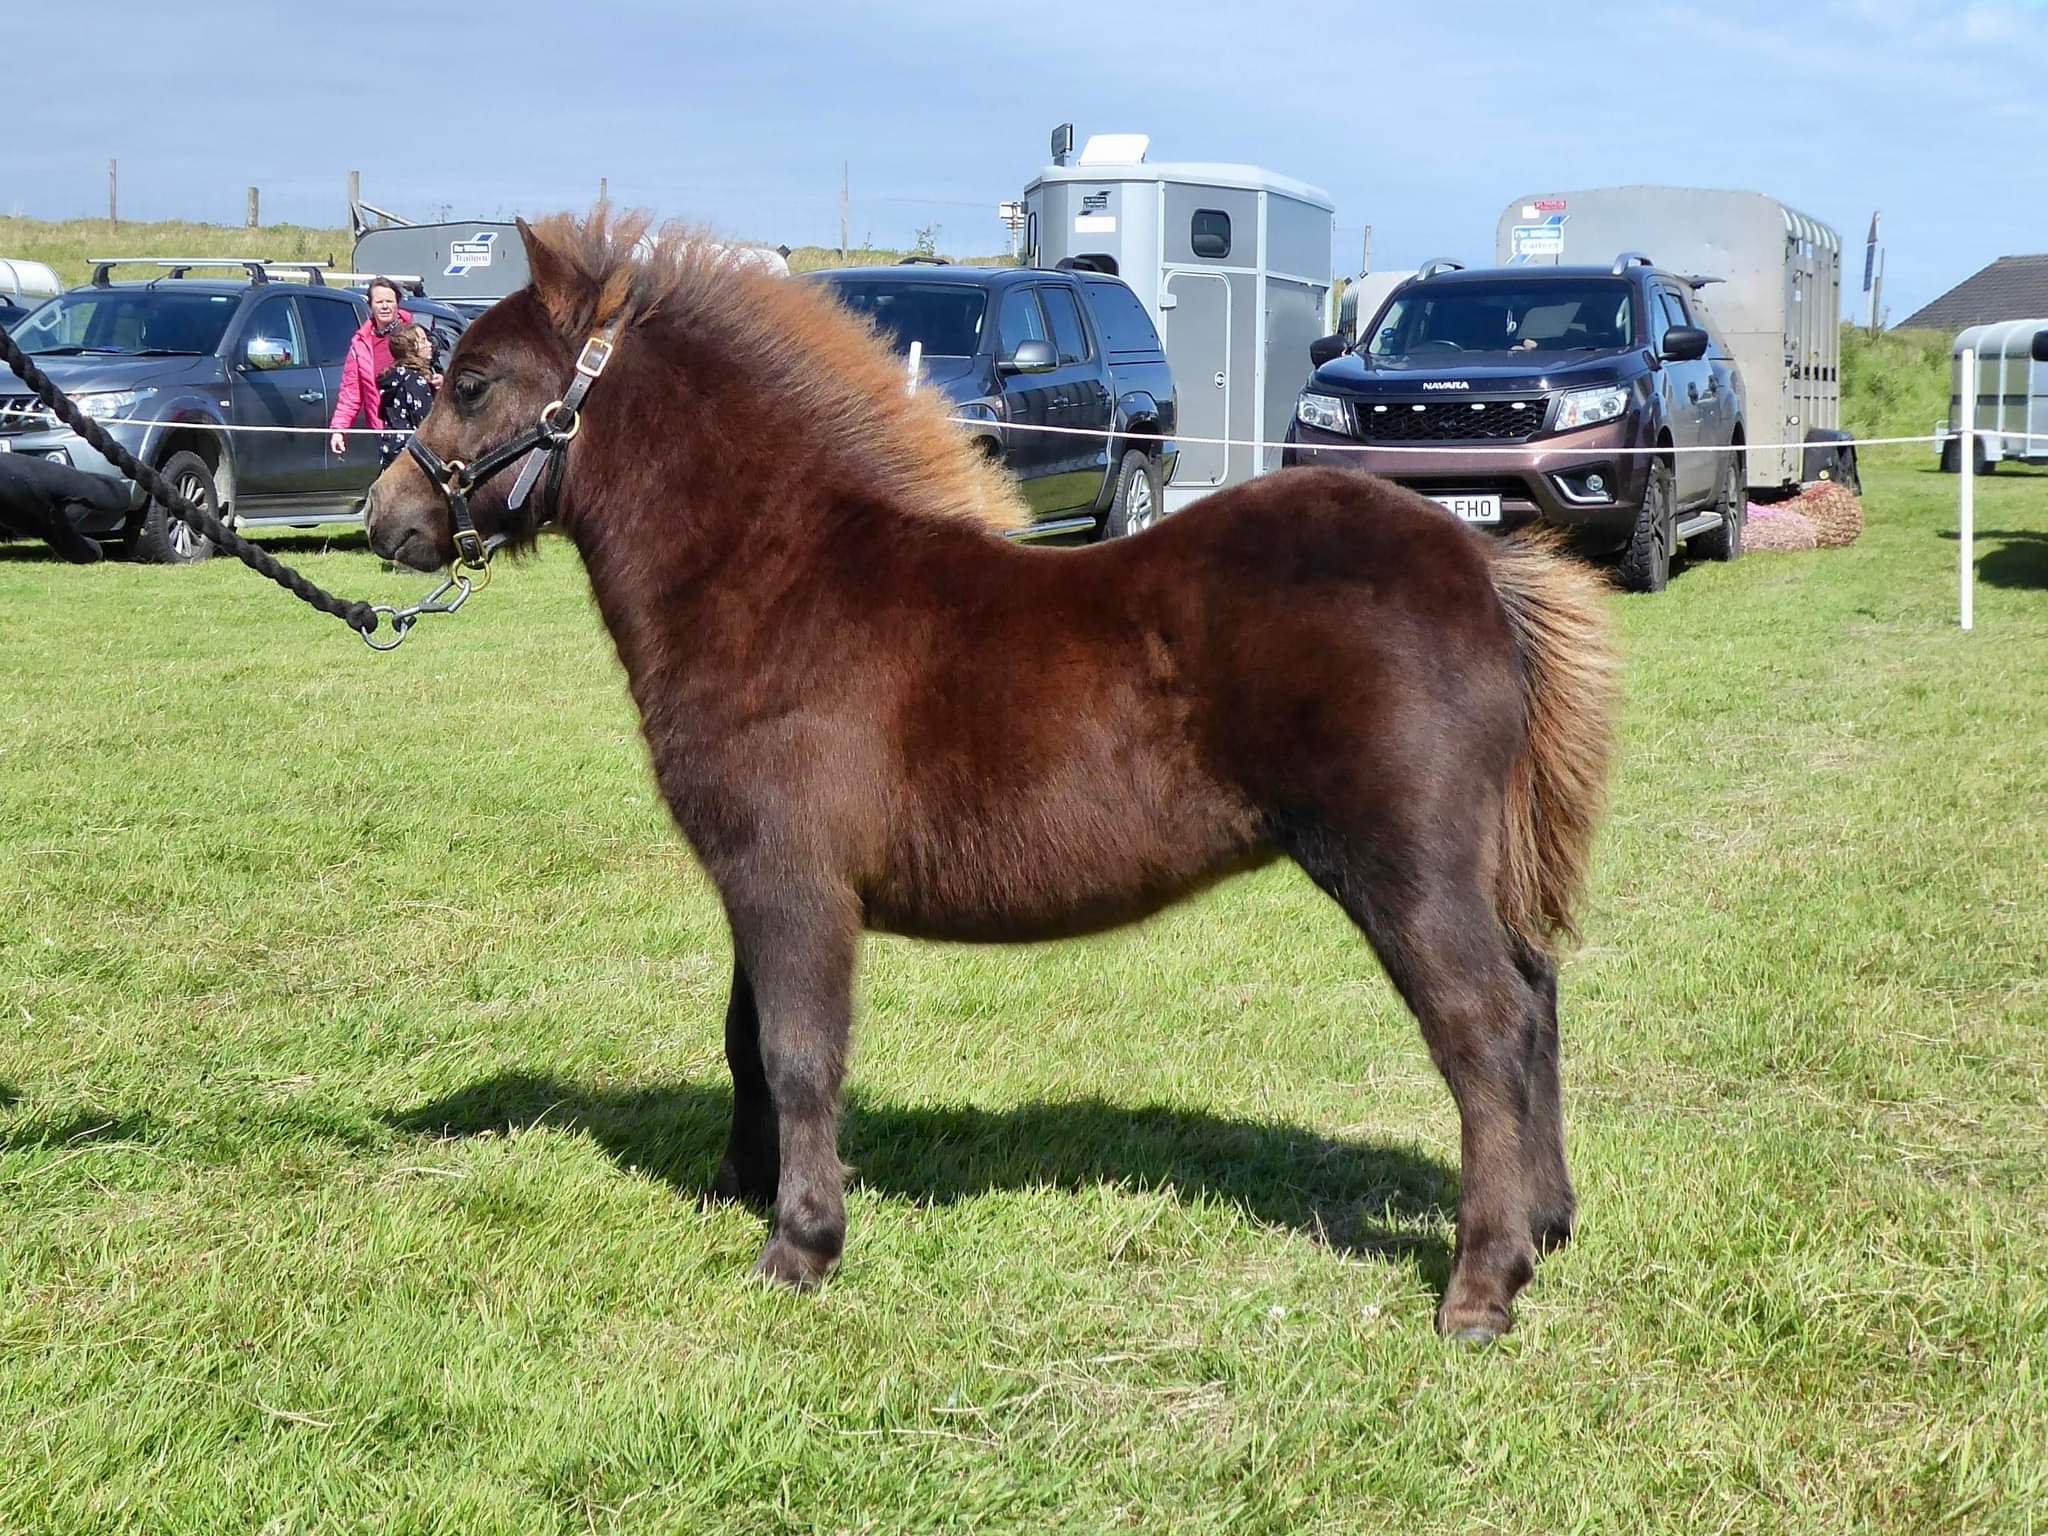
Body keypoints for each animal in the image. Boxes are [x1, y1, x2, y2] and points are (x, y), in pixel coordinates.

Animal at [363, 208, 1618, 1343]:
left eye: (470, 381)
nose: (386, 520)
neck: (773, 583)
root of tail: (1478, 564)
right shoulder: (750, 880)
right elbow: (742, 1042)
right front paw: (736, 1187)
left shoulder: (791, 882)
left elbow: (797, 1052)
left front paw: (800, 1245)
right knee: (1536, 995)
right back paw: (1548, 1223)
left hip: (1400, 867)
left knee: (1484, 1025)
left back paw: (1480, 1286)